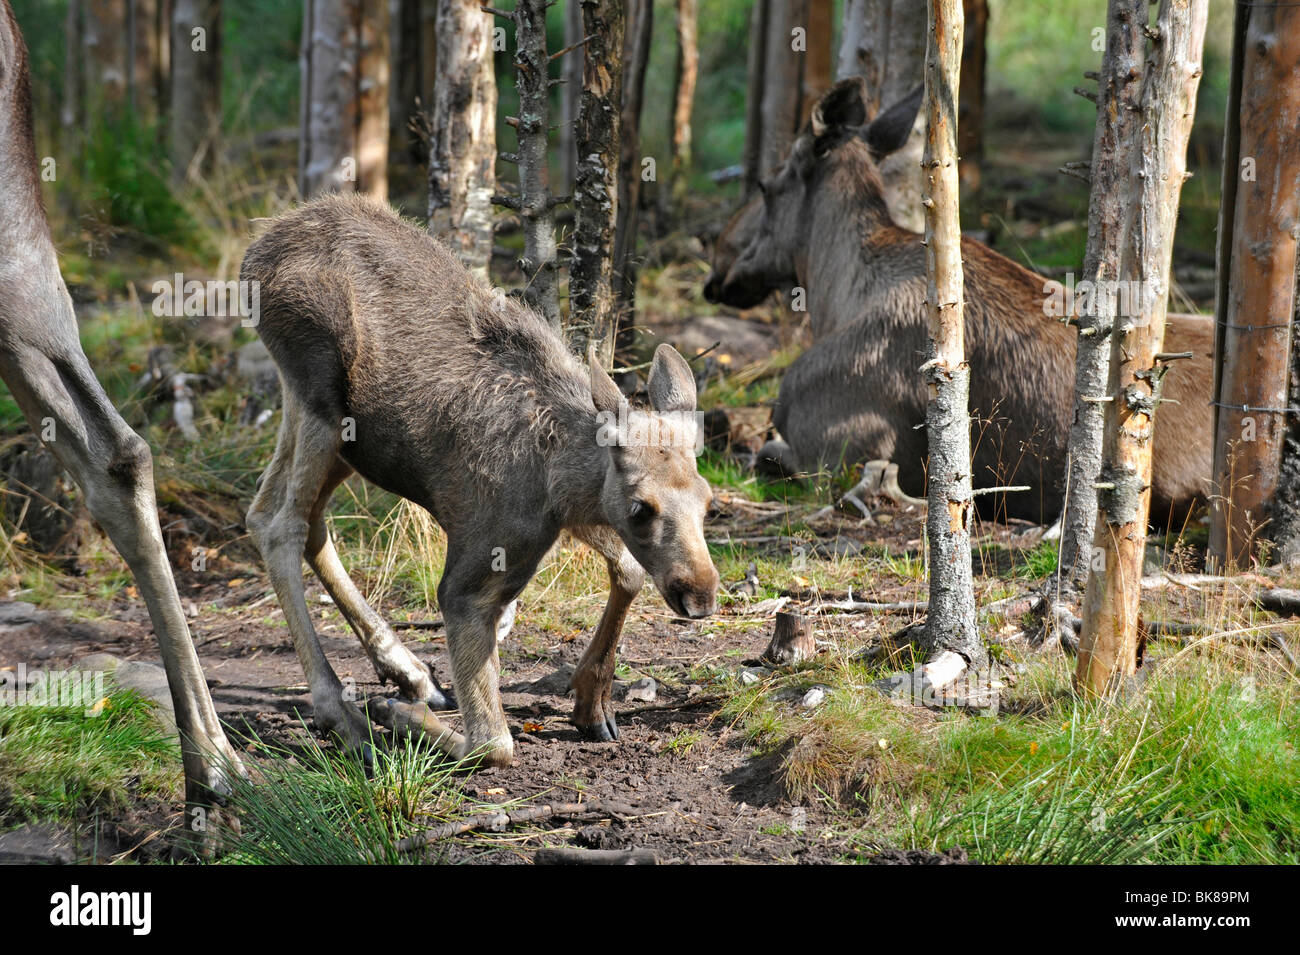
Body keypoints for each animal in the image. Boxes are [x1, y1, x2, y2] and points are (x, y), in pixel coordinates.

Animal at [241, 194, 719, 767]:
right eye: (640, 507)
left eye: (709, 503)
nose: (700, 596)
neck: (560, 479)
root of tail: (255, 253)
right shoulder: (468, 583)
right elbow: (493, 743)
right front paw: (394, 715)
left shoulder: (574, 515)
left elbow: (628, 570)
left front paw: (591, 700)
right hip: (318, 400)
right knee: (280, 523)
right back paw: (342, 710)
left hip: (347, 440)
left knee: (294, 518)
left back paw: (407, 671)